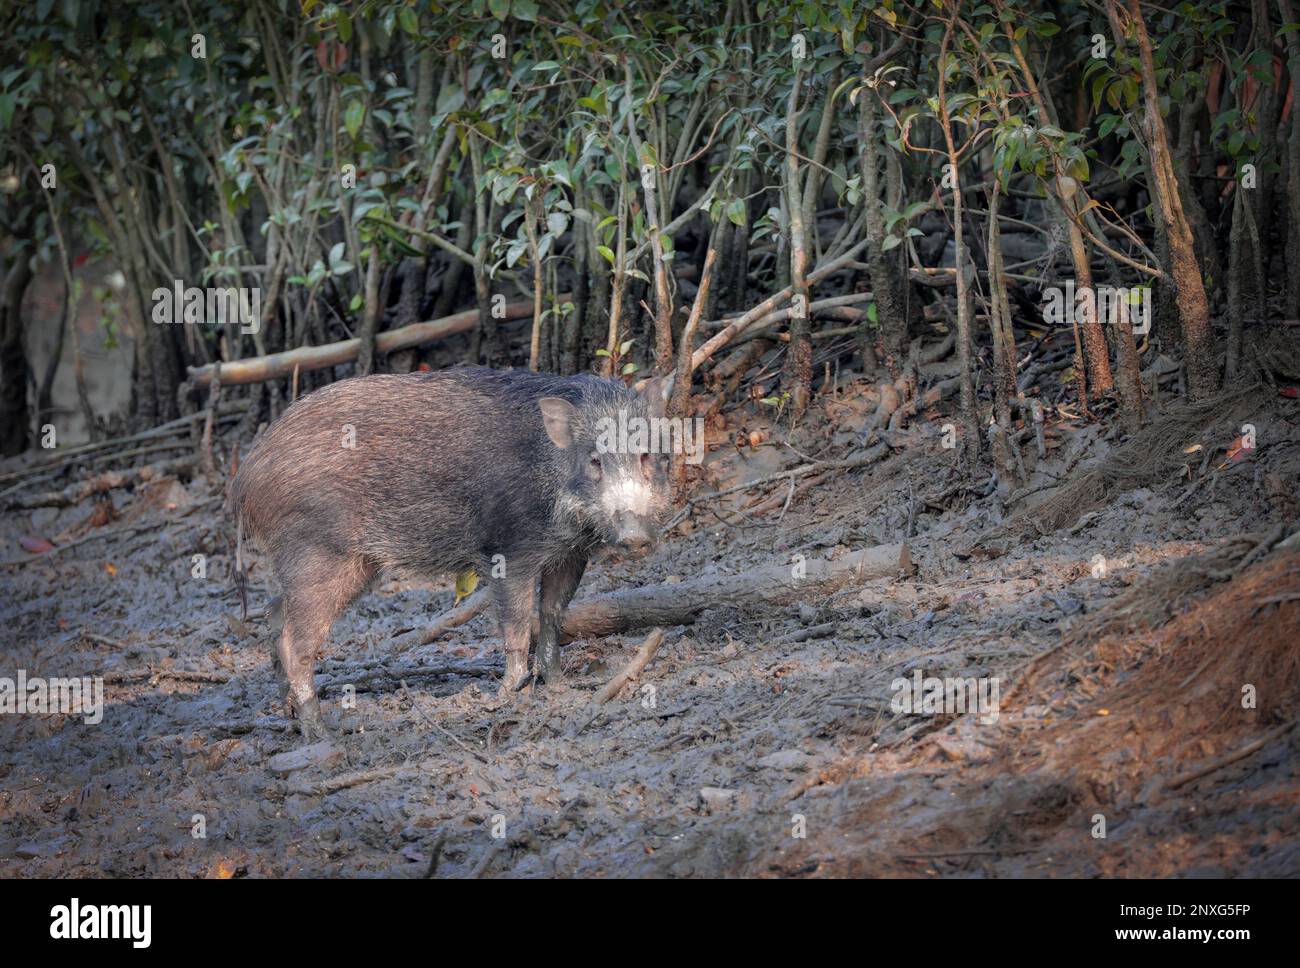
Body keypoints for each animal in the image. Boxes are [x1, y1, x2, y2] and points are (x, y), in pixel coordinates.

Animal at [228, 366, 671, 738]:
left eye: (646, 455)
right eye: (595, 460)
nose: (636, 537)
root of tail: (245, 477)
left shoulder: (569, 554)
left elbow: (551, 615)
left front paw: (559, 684)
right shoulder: (510, 551)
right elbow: (515, 623)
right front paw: (506, 694)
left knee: (273, 613)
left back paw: (290, 717)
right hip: (319, 553)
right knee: (295, 641)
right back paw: (323, 733)